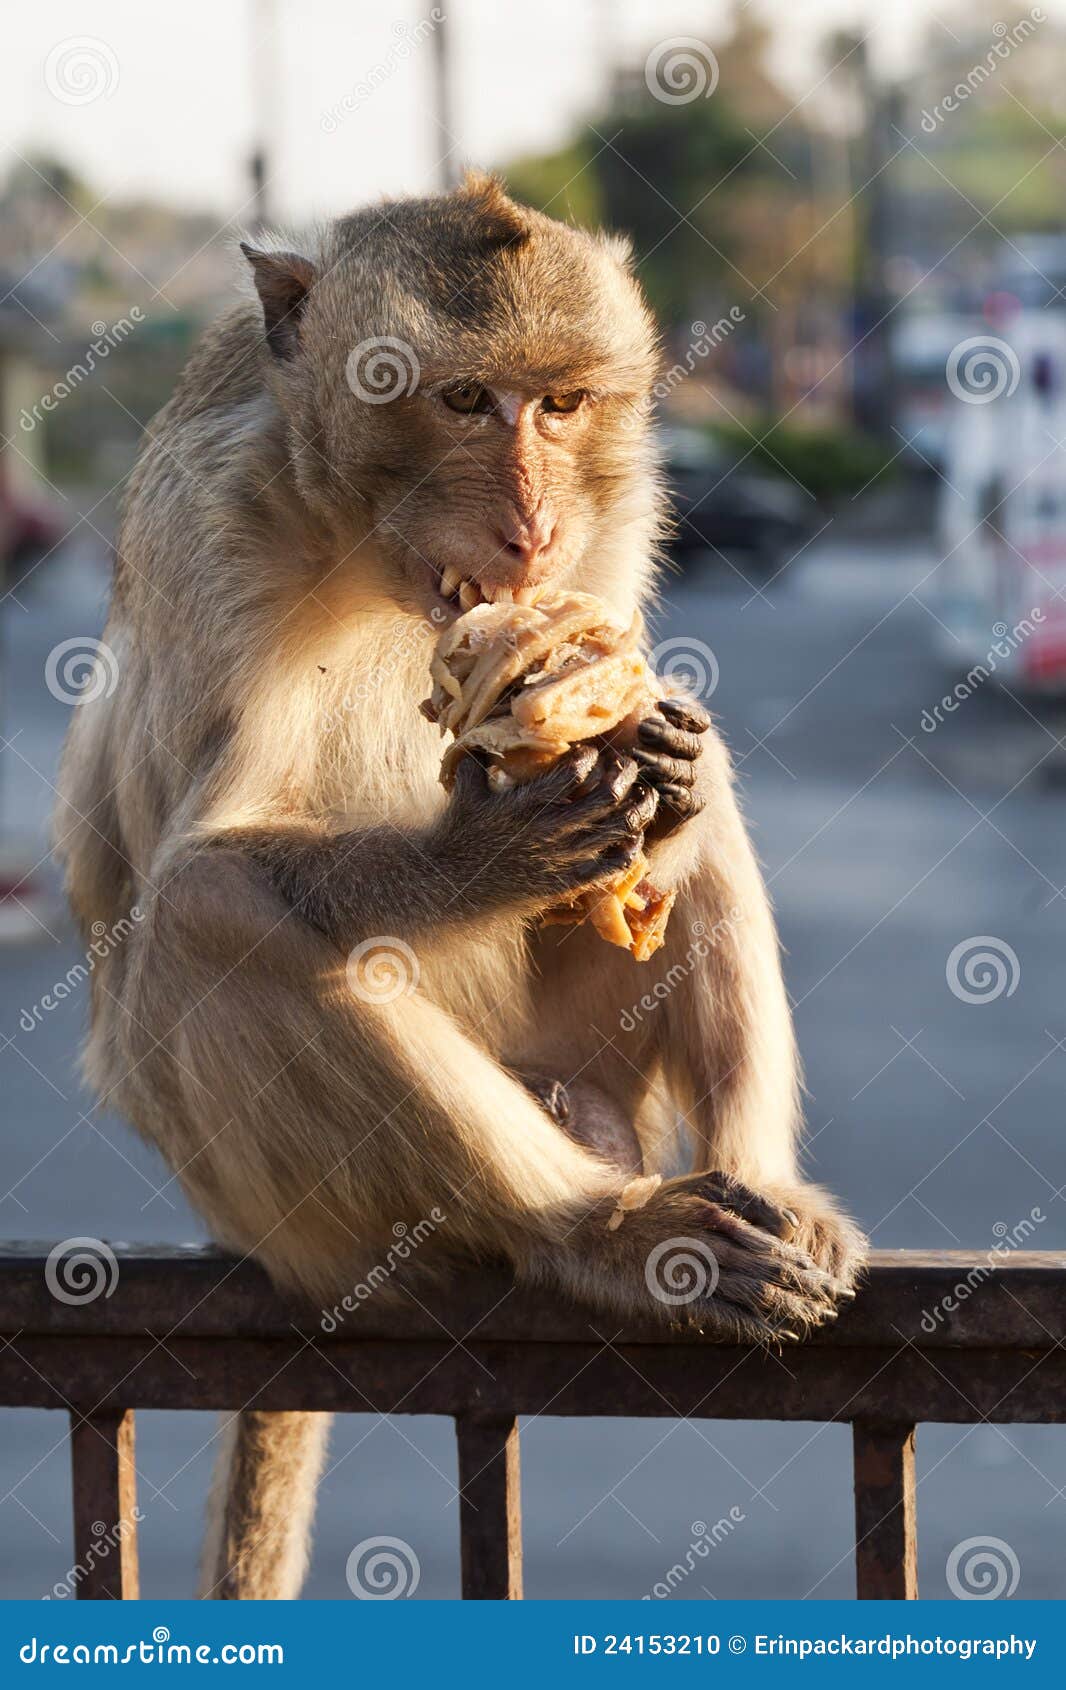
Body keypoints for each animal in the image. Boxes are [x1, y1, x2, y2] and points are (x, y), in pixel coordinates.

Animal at [53, 172, 865, 1600]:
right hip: (290, 1210)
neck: (363, 551)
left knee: (695, 846)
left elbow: (661, 771)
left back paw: (761, 1181)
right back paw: (598, 1234)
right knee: (218, 927)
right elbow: (199, 864)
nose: (533, 525)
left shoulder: (615, 530)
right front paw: (484, 852)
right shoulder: (210, 533)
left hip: (585, 1068)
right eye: (464, 400)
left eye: (562, 404)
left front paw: (662, 757)